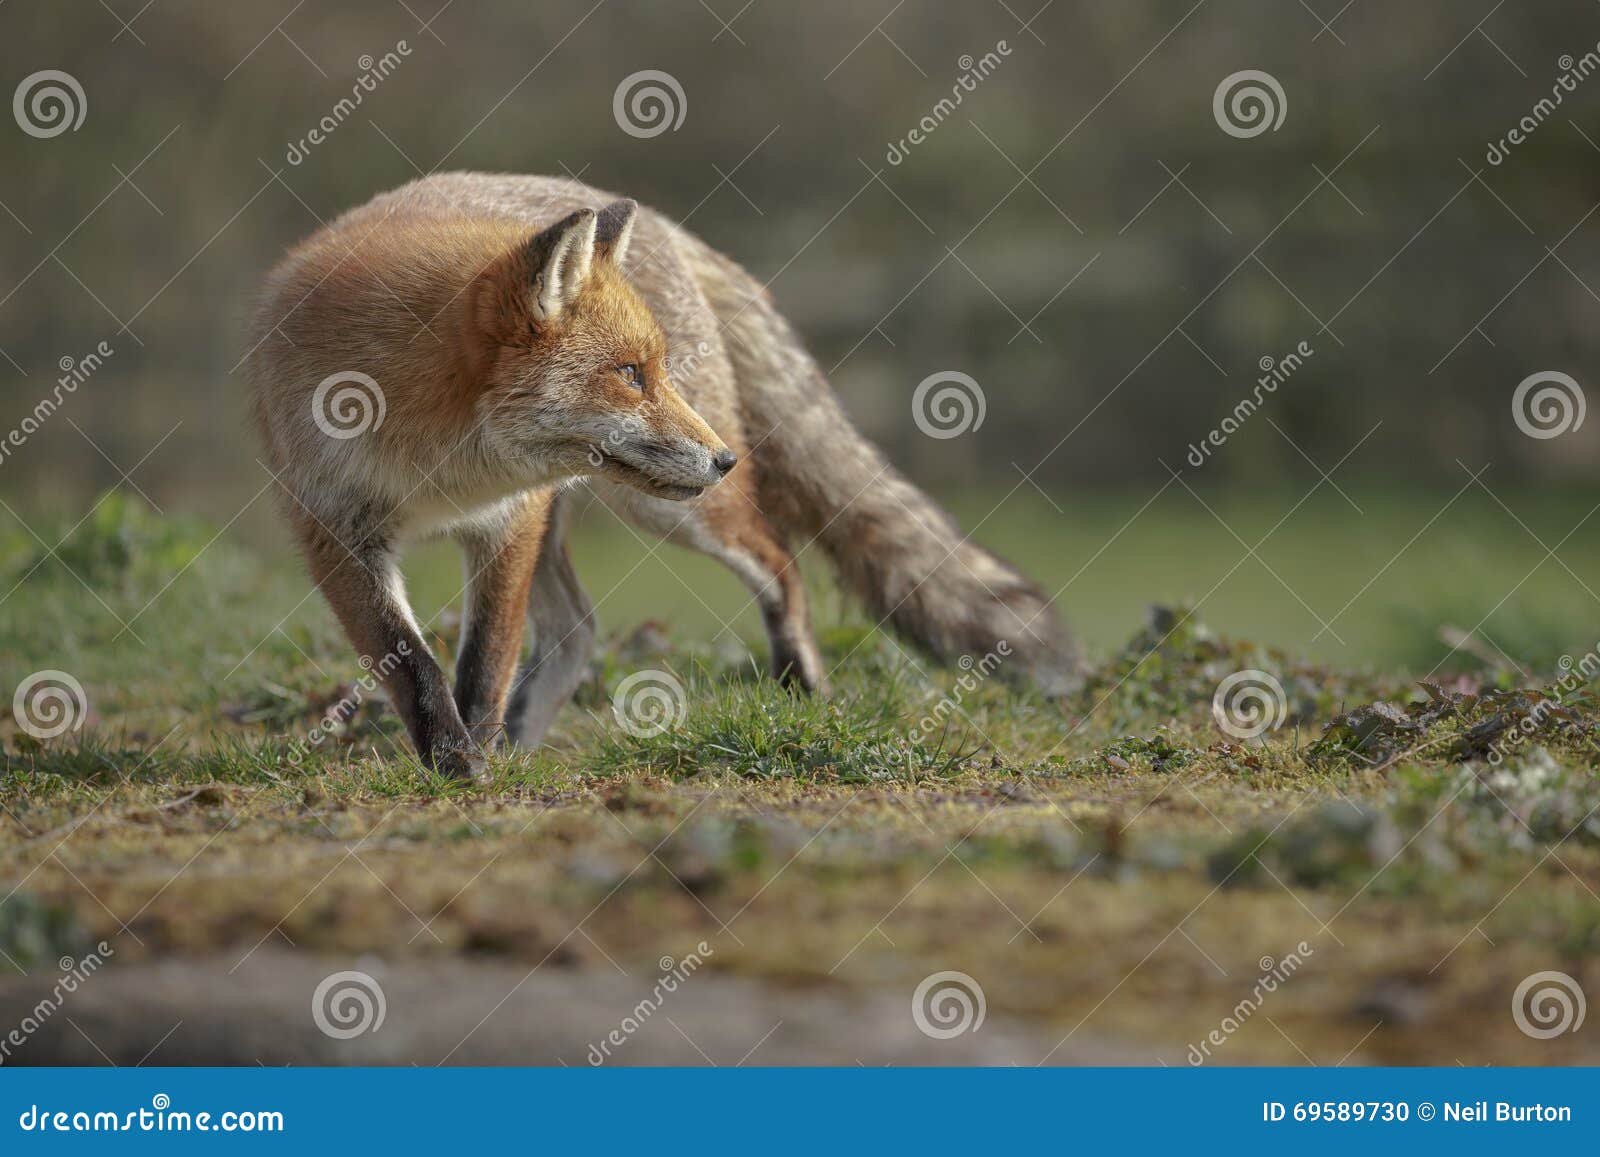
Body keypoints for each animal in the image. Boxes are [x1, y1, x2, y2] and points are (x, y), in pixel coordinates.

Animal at [246, 173, 1084, 781]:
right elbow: (415, 665)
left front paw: (470, 766)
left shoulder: (508, 519)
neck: (438, 463)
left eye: (656, 370)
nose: (725, 459)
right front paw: (460, 763)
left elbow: (482, 662)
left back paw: (801, 686)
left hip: (671, 514)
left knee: (781, 563)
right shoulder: (334, 529)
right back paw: (519, 741)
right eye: (629, 375)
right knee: (577, 629)